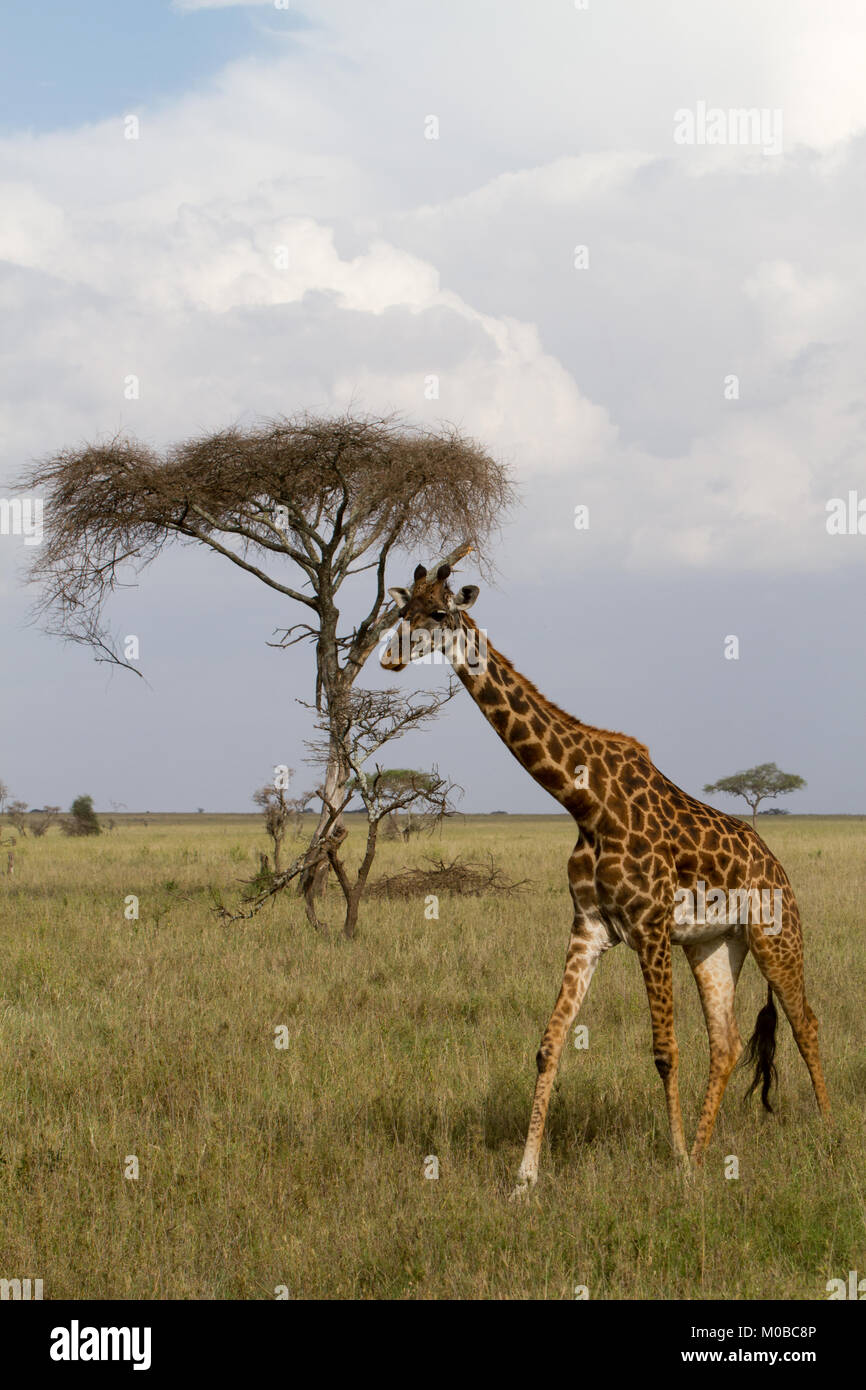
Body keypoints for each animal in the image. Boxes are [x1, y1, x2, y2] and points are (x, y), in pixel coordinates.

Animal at [381, 562, 830, 1193]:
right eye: (403, 610)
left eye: (441, 613)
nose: (389, 657)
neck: (583, 799)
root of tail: (777, 865)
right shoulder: (590, 927)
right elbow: (549, 1045)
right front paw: (523, 1180)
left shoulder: (650, 925)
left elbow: (664, 1050)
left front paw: (677, 1165)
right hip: (715, 945)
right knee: (727, 1043)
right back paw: (705, 1150)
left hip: (776, 935)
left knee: (805, 1023)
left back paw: (829, 1140)